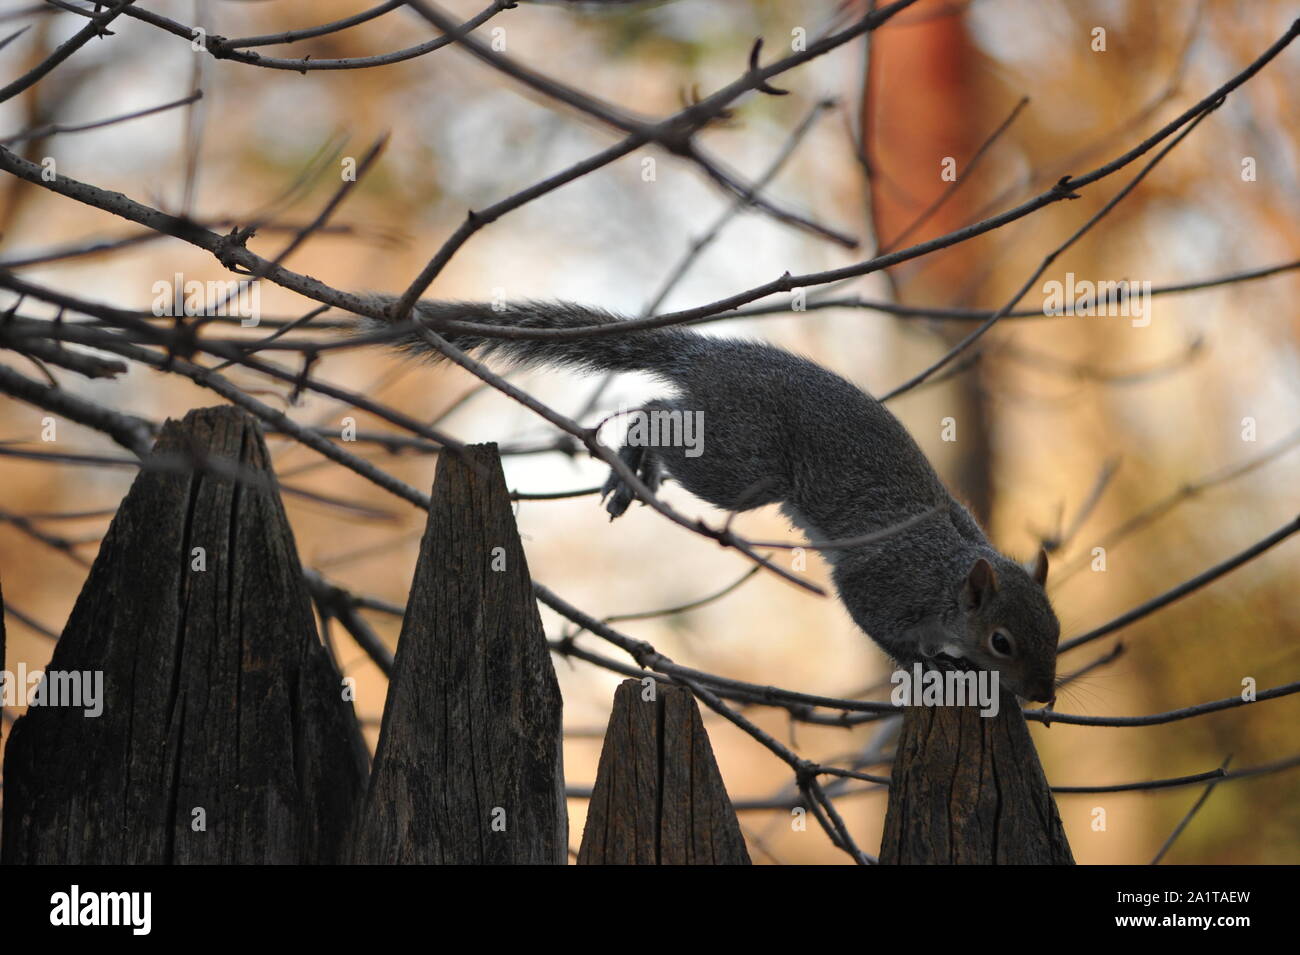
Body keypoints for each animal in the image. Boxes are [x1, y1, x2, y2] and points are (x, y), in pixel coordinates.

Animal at [354, 298, 1061, 703]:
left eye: (1055, 632)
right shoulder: (884, 582)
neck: (950, 573)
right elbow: (879, 624)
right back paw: (635, 453)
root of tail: (706, 352)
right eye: (1002, 642)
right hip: (736, 460)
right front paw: (927, 663)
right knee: (657, 412)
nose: (1045, 698)